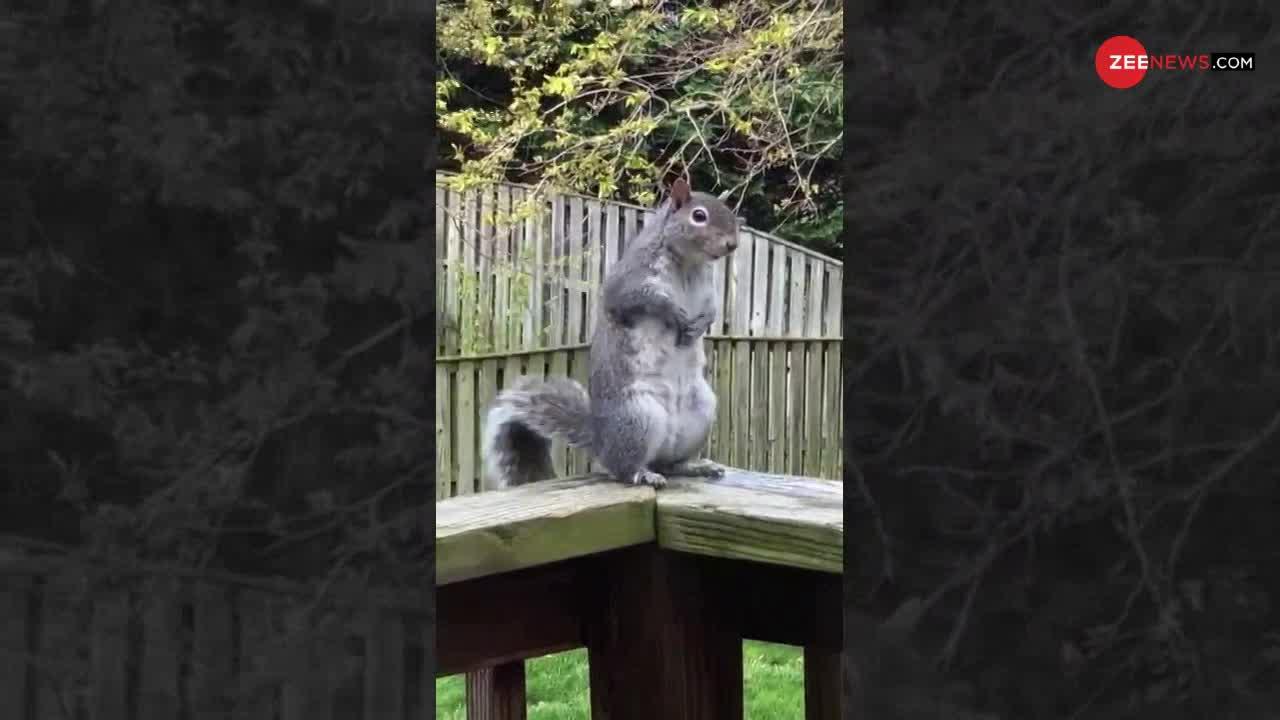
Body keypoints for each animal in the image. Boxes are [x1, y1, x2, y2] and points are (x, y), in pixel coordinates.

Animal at [481, 178, 740, 489]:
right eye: (699, 216)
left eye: (728, 211)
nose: (732, 244)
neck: (688, 264)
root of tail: (602, 441)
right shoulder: (630, 280)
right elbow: (640, 300)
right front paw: (674, 314)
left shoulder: (708, 291)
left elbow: (711, 311)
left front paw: (698, 325)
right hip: (638, 418)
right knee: (625, 468)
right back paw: (642, 473)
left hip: (701, 411)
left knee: (670, 464)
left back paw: (694, 466)